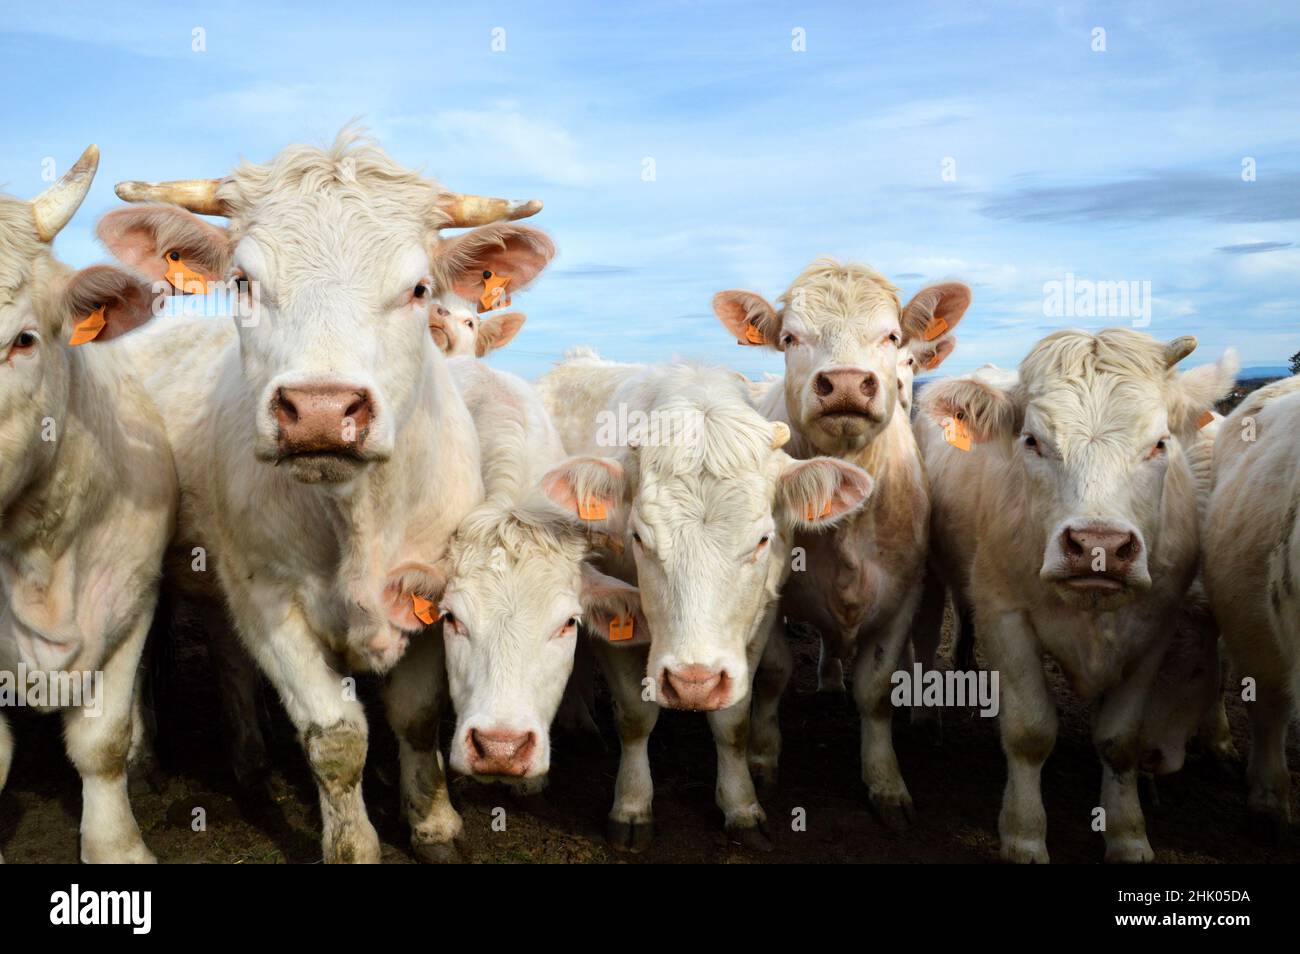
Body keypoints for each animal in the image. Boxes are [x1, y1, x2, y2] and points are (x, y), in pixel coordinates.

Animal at [102, 129, 554, 863]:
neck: (360, 517)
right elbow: (335, 738)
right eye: (244, 282)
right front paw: (353, 844)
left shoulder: (431, 593)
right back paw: (145, 762)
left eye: (418, 289)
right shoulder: (268, 601)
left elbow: (416, 717)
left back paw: (251, 764)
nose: (319, 409)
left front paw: (435, 825)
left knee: (226, 655)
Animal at [536, 351, 873, 849]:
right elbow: (635, 717)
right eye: (639, 537)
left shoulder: (753, 626)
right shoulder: (621, 627)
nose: (693, 681)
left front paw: (742, 806)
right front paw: (632, 806)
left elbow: (732, 722)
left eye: (762, 539)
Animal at [712, 260, 969, 827]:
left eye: (893, 336)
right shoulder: (773, 595)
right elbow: (774, 674)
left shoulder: (903, 594)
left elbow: (876, 691)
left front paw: (886, 783)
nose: (848, 383)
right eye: (789, 338)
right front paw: (763, 756)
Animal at [915, 328, 1236, 862]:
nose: (1097, 547)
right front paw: (1024, 835)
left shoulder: (1155, 630)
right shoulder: (1006, 616)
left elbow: (1120, 740)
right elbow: (1030, 732)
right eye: (1032, 441)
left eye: (1159, 443)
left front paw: (1128, 834)